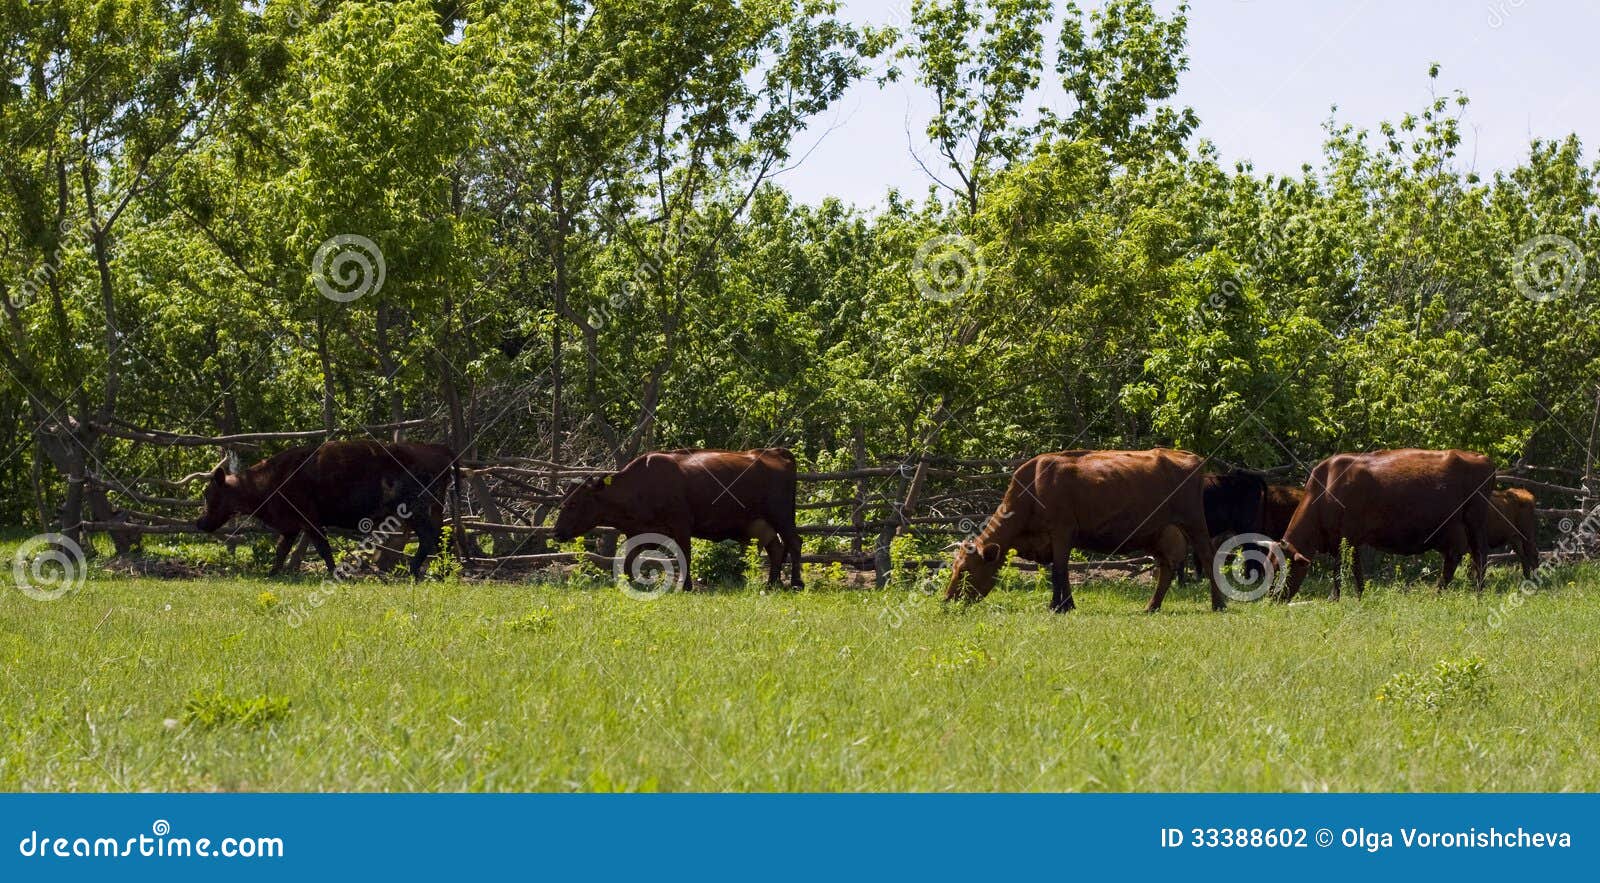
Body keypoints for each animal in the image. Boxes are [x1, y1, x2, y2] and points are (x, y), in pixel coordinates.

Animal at [196, 440, 459, 579]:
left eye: (210, 494)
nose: (199, 523)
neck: (274, 478)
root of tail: (439, 449)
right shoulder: (291, 526)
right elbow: (282, 549)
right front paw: (273, 572)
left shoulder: (310, 520)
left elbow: (323, 548)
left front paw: (335, 572)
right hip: (434, 511)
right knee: (443, 538)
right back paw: (444, 571)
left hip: (418, 511)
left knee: (429, 538)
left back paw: (414, 571)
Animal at [551, 447, 802, 591]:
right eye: (563, 502)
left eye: (574, 503)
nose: (556, 532)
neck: (641, 486)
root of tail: (775, 452)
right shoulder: (638, 531)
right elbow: (630, 557)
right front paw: (632, 582)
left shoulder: (681, 525)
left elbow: (684, 555)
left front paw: (685, 585)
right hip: (762, 523)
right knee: (776, 548)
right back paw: (772, 583)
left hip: (782, 516)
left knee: (794, 543)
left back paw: (796, 583)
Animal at [945, 449, 1225, 613]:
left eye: (965, 570)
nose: (947, 600)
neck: (1032, 487)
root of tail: (1190, 457)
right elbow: (1058, 571)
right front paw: (1062, 604)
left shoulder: (1061, 532)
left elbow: (1060, 570)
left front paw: (1060, 606)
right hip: (1159, 532)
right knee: (1167, 566)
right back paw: (1151, 606)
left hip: (1194, 522)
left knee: (1207, 557)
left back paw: (1218, 603)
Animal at [1276, 448, 1495, 601]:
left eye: (1280, 569)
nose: (1272, 598)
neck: (1326, 487)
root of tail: (1481, 458)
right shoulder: (1350, 541)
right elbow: (1355, 569)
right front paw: (1360, 595)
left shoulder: (1346, 538)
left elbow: (1339, 570)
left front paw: (1335, 598)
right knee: (1455, 557)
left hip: (1475, 520)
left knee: (1479, 555)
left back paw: (1477, 595)